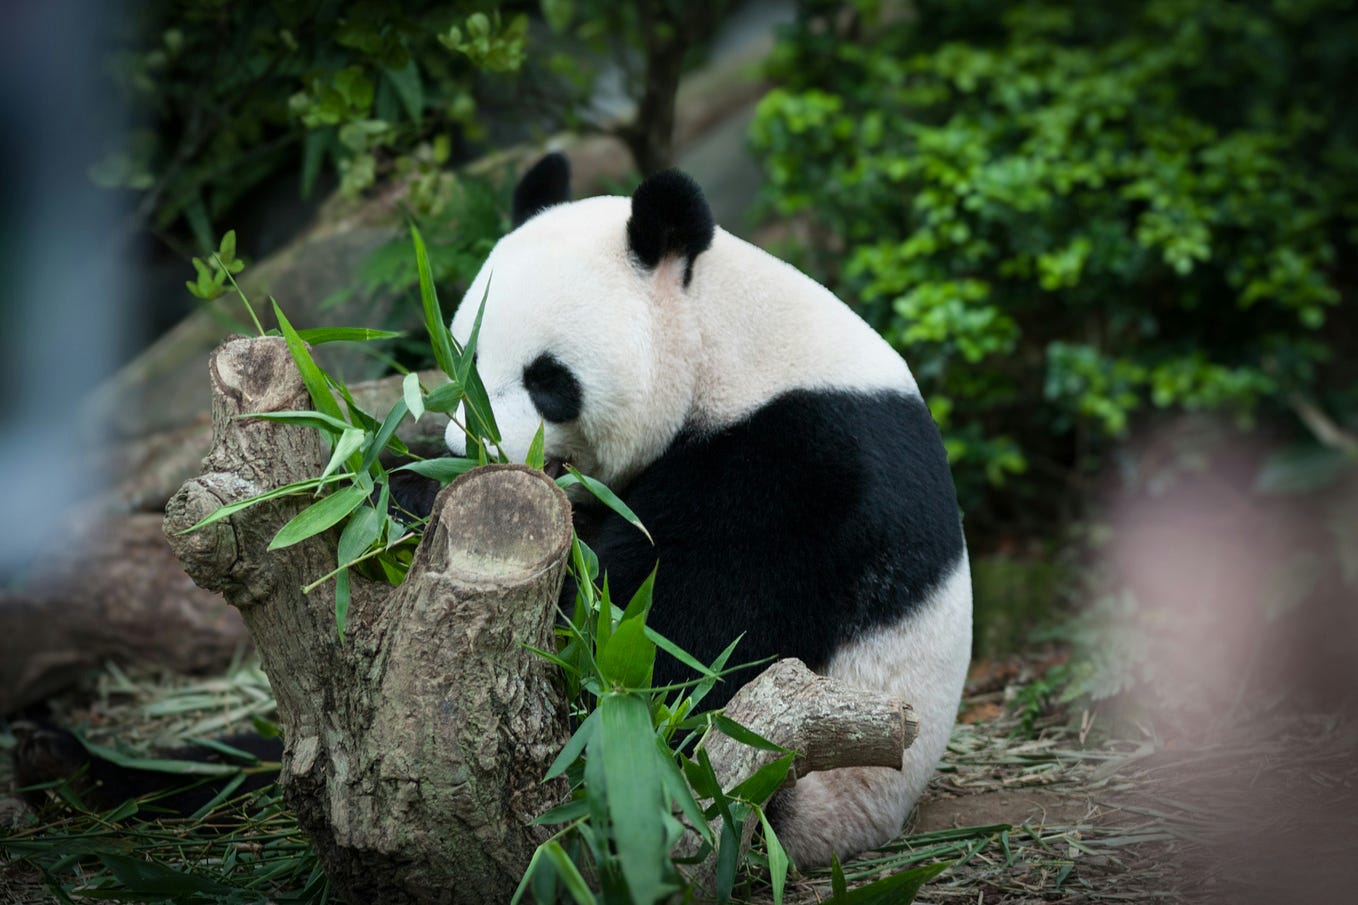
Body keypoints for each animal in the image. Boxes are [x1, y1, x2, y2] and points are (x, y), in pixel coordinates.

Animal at [443, 153, 973, 868]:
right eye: (465, 357)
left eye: (547, 379)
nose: (471, 448)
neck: (724, 340)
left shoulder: (801, 468)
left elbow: (668, 639)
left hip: (809, 776)